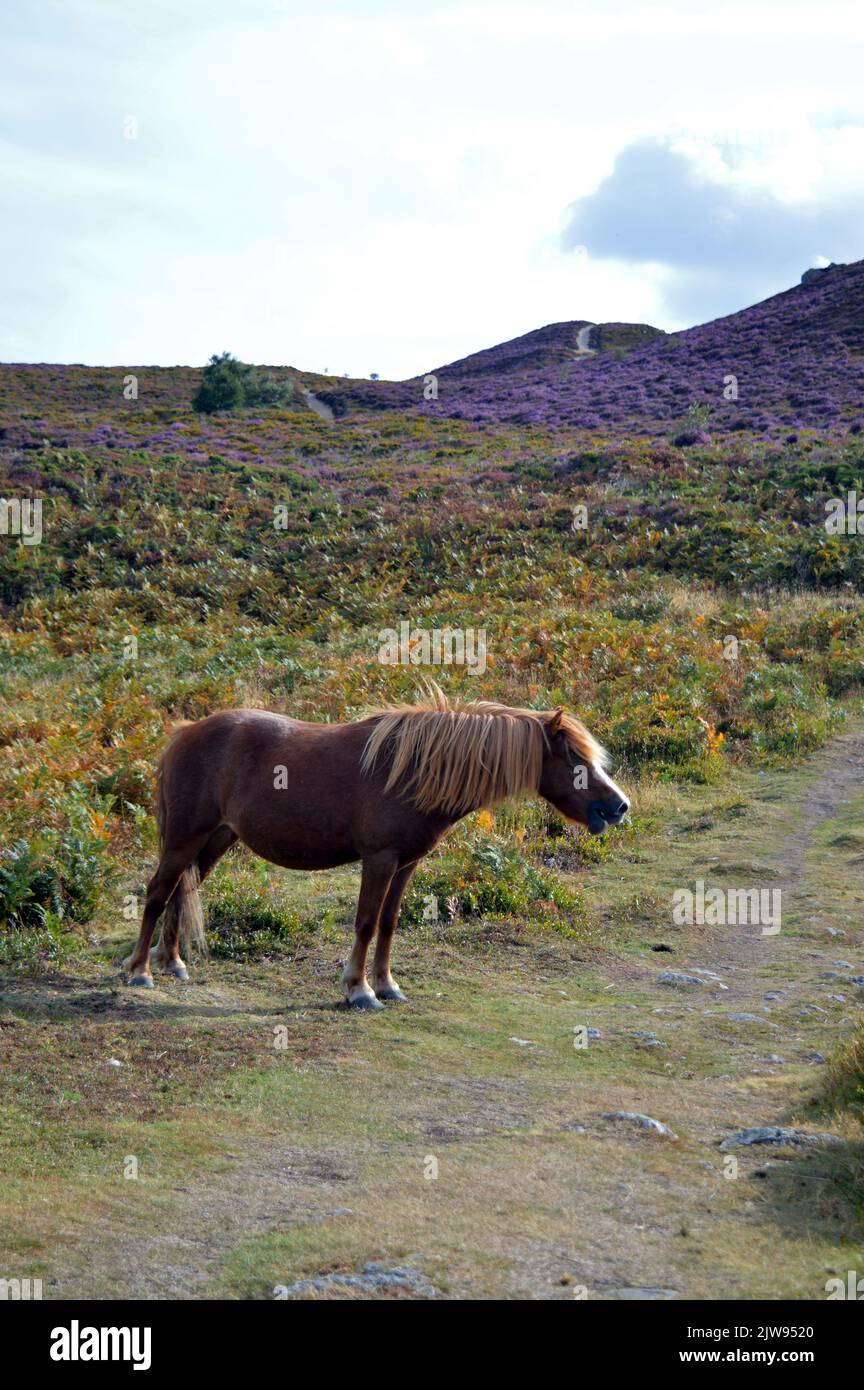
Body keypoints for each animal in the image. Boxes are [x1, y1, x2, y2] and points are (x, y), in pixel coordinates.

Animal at [124, 687, 630, 1008]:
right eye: (575, 758)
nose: (619, 806)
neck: (417, 769)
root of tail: (186, 731)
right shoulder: (380, 859)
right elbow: (366, 924)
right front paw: (359, 990)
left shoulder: (406, 863)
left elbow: (388, 924)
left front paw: (387, 985)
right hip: (185, 839)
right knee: (157, 894)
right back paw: (140, 971)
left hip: (214, 841)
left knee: (181, 892)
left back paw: (173, 962)